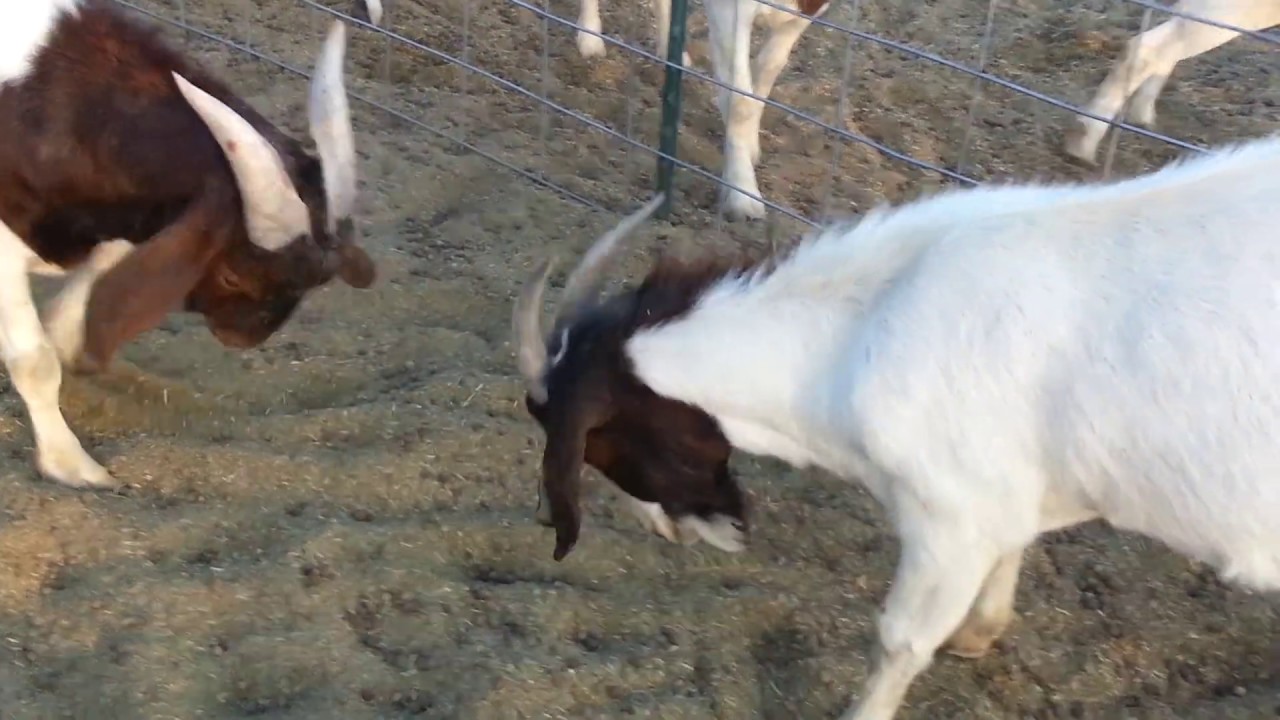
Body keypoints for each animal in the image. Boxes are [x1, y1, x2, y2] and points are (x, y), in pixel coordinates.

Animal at [514, 135, 1280, 720]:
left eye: (607, 447)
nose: (699, 529)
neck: (862, 333)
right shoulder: (1006, 492)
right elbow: (1013, 545)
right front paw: (981, 632)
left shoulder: (950, 518)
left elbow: (899, 640)